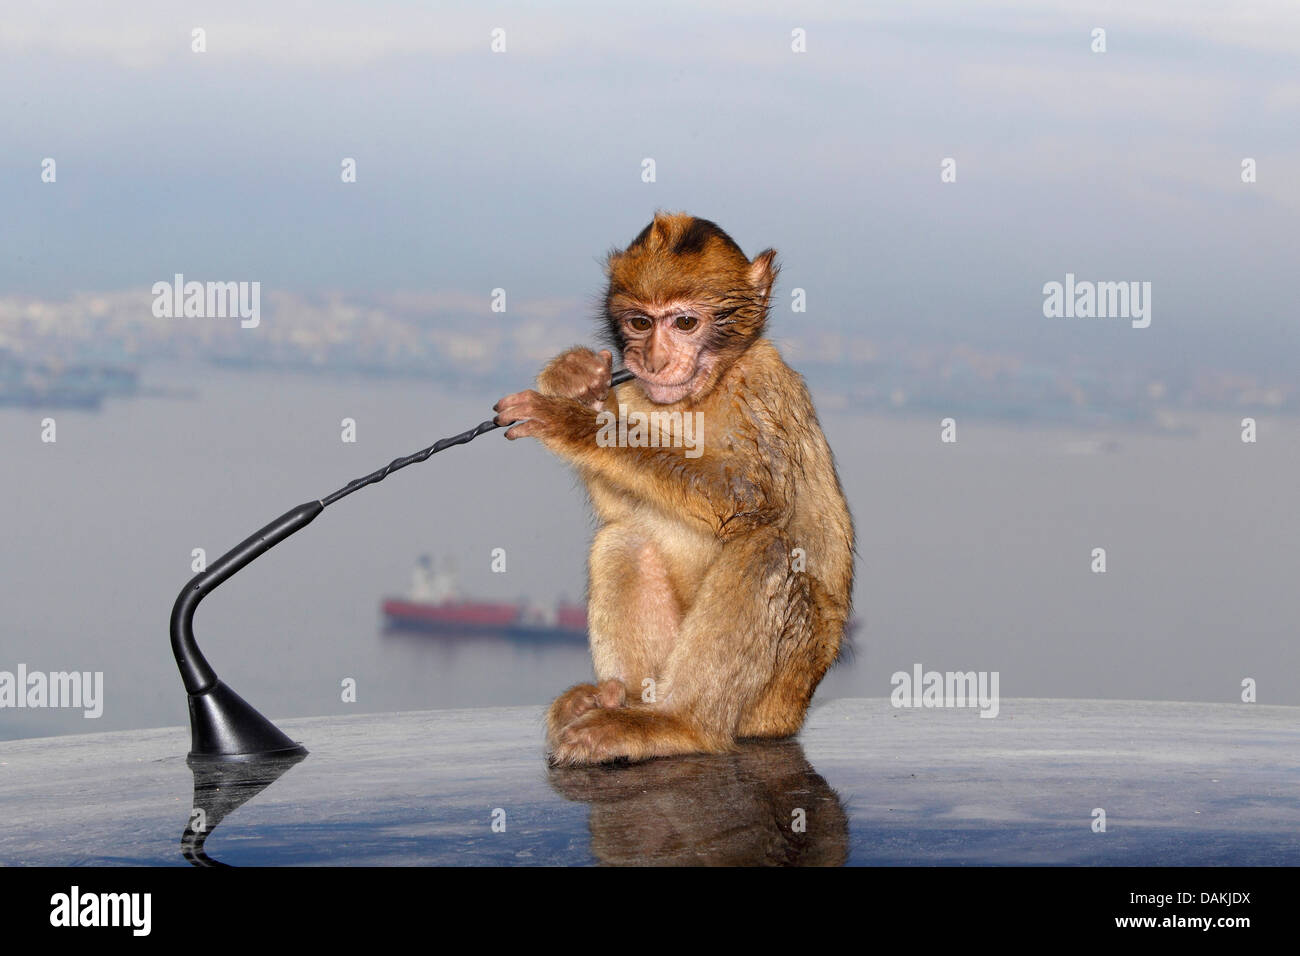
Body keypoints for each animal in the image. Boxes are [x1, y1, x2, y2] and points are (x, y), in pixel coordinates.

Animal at [493, 212, 855, 765]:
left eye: (685, 323)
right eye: (641, 323)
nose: (654, 360)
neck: (701, 394)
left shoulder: (761, 385)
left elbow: (753, 496)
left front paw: (575, 423)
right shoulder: (635, 394)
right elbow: (624, 505)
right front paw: (580, 383)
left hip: (781, 692)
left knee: (765, 546)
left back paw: (680, 725)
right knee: (625, 537)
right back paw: (616, 699)